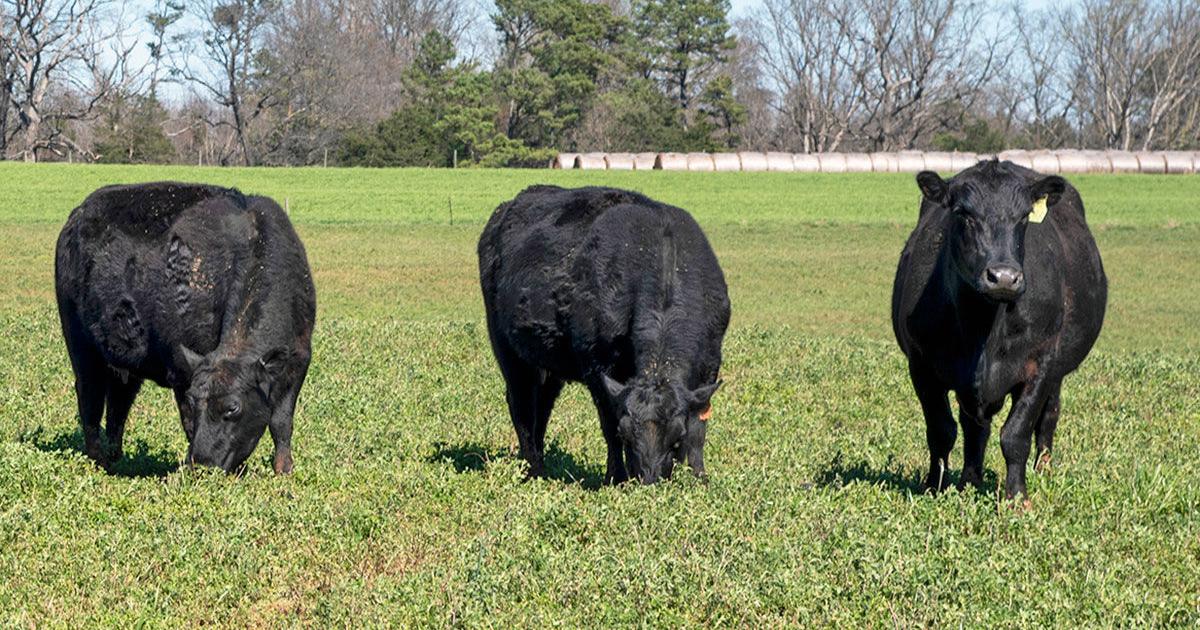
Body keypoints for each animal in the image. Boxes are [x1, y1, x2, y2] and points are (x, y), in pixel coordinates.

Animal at [55, 182, 316, 474]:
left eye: (232, 408)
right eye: (194, 401)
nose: (203, 462)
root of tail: (78, 214)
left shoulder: (298, 363)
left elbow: (281, 422)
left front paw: (283, 470)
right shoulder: (181, 372)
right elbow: (190, 423)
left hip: (125, 364)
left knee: (118, 404)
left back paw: (115, 458)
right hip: (81, 348)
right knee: (90, 398)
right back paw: (97, 460)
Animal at [478, 185, 730, 485]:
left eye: (676, 437)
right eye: (626, 433)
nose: (649, 480)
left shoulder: (710, 363)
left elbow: (698, 429)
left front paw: (699, 477)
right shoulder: (597, 365)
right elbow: (608, 422)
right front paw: (616, 477)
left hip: (548, 365)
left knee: (542, 407)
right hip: (508, 351)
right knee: (522, 407)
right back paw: (534, 470)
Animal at [892, 160, 1107, 502]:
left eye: (1024, 217)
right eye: (963, 213)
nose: (1004, 277)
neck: (983, 328)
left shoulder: (1041, 362)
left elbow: (1016, 434)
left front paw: (1017, 497)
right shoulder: (921, 363)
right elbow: (941, 430)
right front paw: (934, 487)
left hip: (1058, 371)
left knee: (1049, 417)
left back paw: (1043, 470)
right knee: (974, 427)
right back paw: (970, 480)